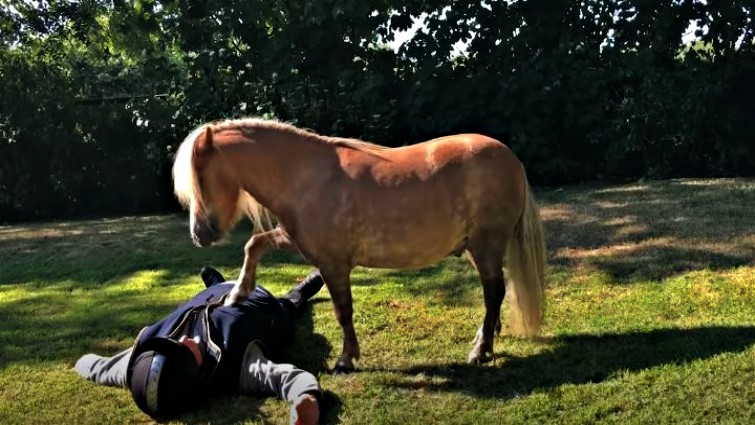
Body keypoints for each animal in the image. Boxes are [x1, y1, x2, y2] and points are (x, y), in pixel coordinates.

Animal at [172, 118, 546, 373]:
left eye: (201, 176)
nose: (199, 234)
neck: (306, 176)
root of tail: (510, 159)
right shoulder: (296, 241)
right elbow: (254, 244)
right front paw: (238, 294)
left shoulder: (334, 265)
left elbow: (343, 311)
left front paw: (346, 359)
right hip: (476, 248)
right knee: (495, 292)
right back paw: (488, 334)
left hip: (486, 246)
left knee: (494, 292)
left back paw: (481, 349)